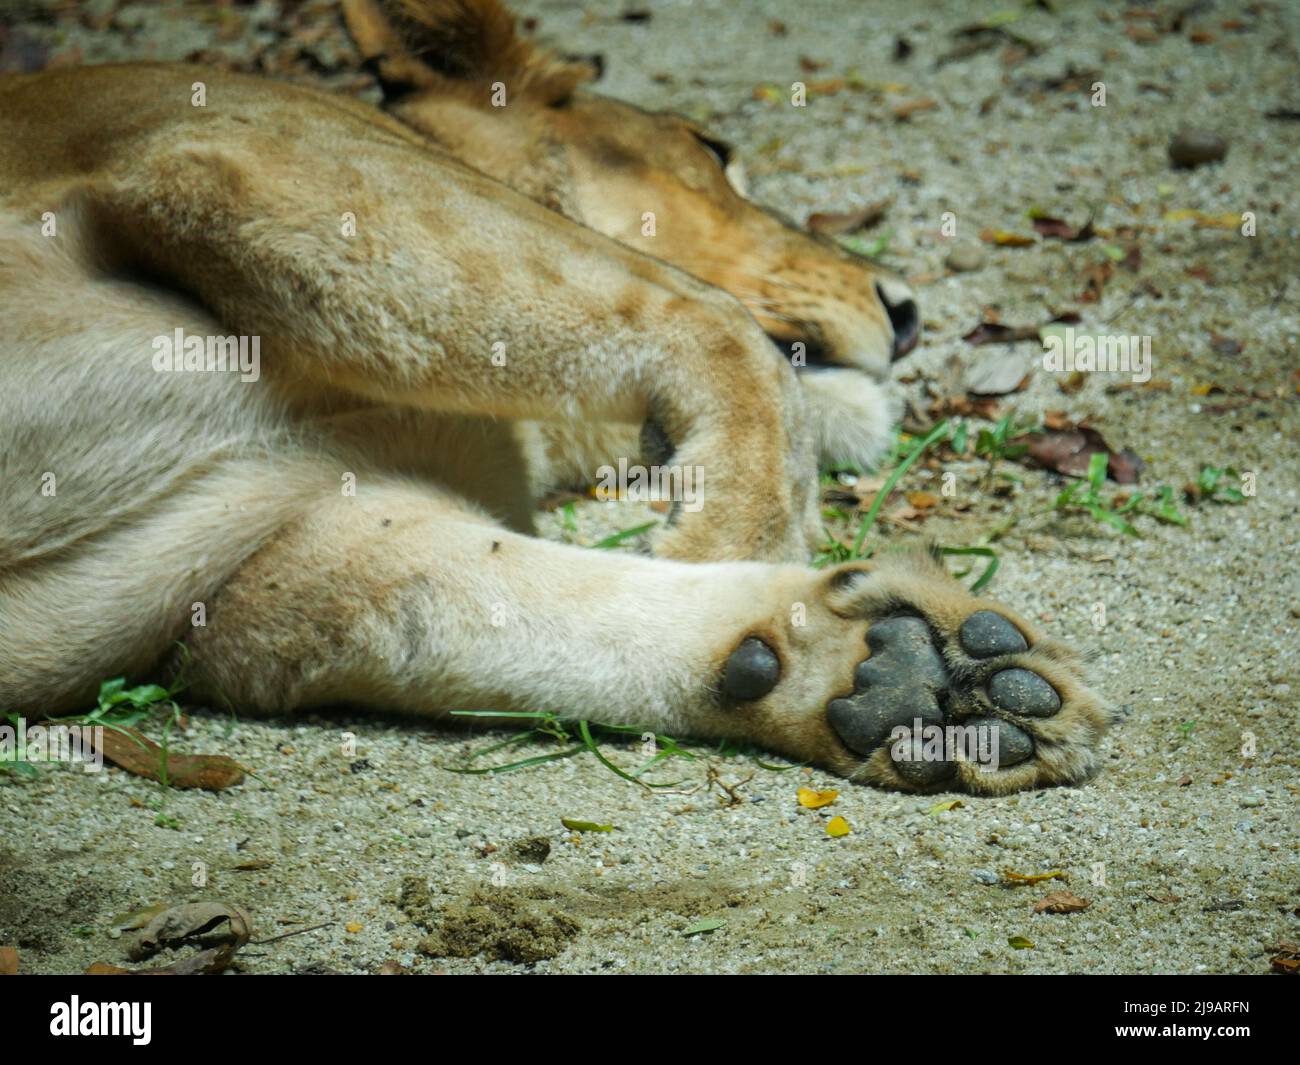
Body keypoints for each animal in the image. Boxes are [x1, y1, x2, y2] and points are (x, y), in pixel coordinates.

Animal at [0, 0, 1110, 794]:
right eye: (712, 152)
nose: (907, 307)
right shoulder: (248, 151)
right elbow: (701, 313)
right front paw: (737, 529)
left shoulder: (279, 560)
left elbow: (529, 615)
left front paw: (908, 677)